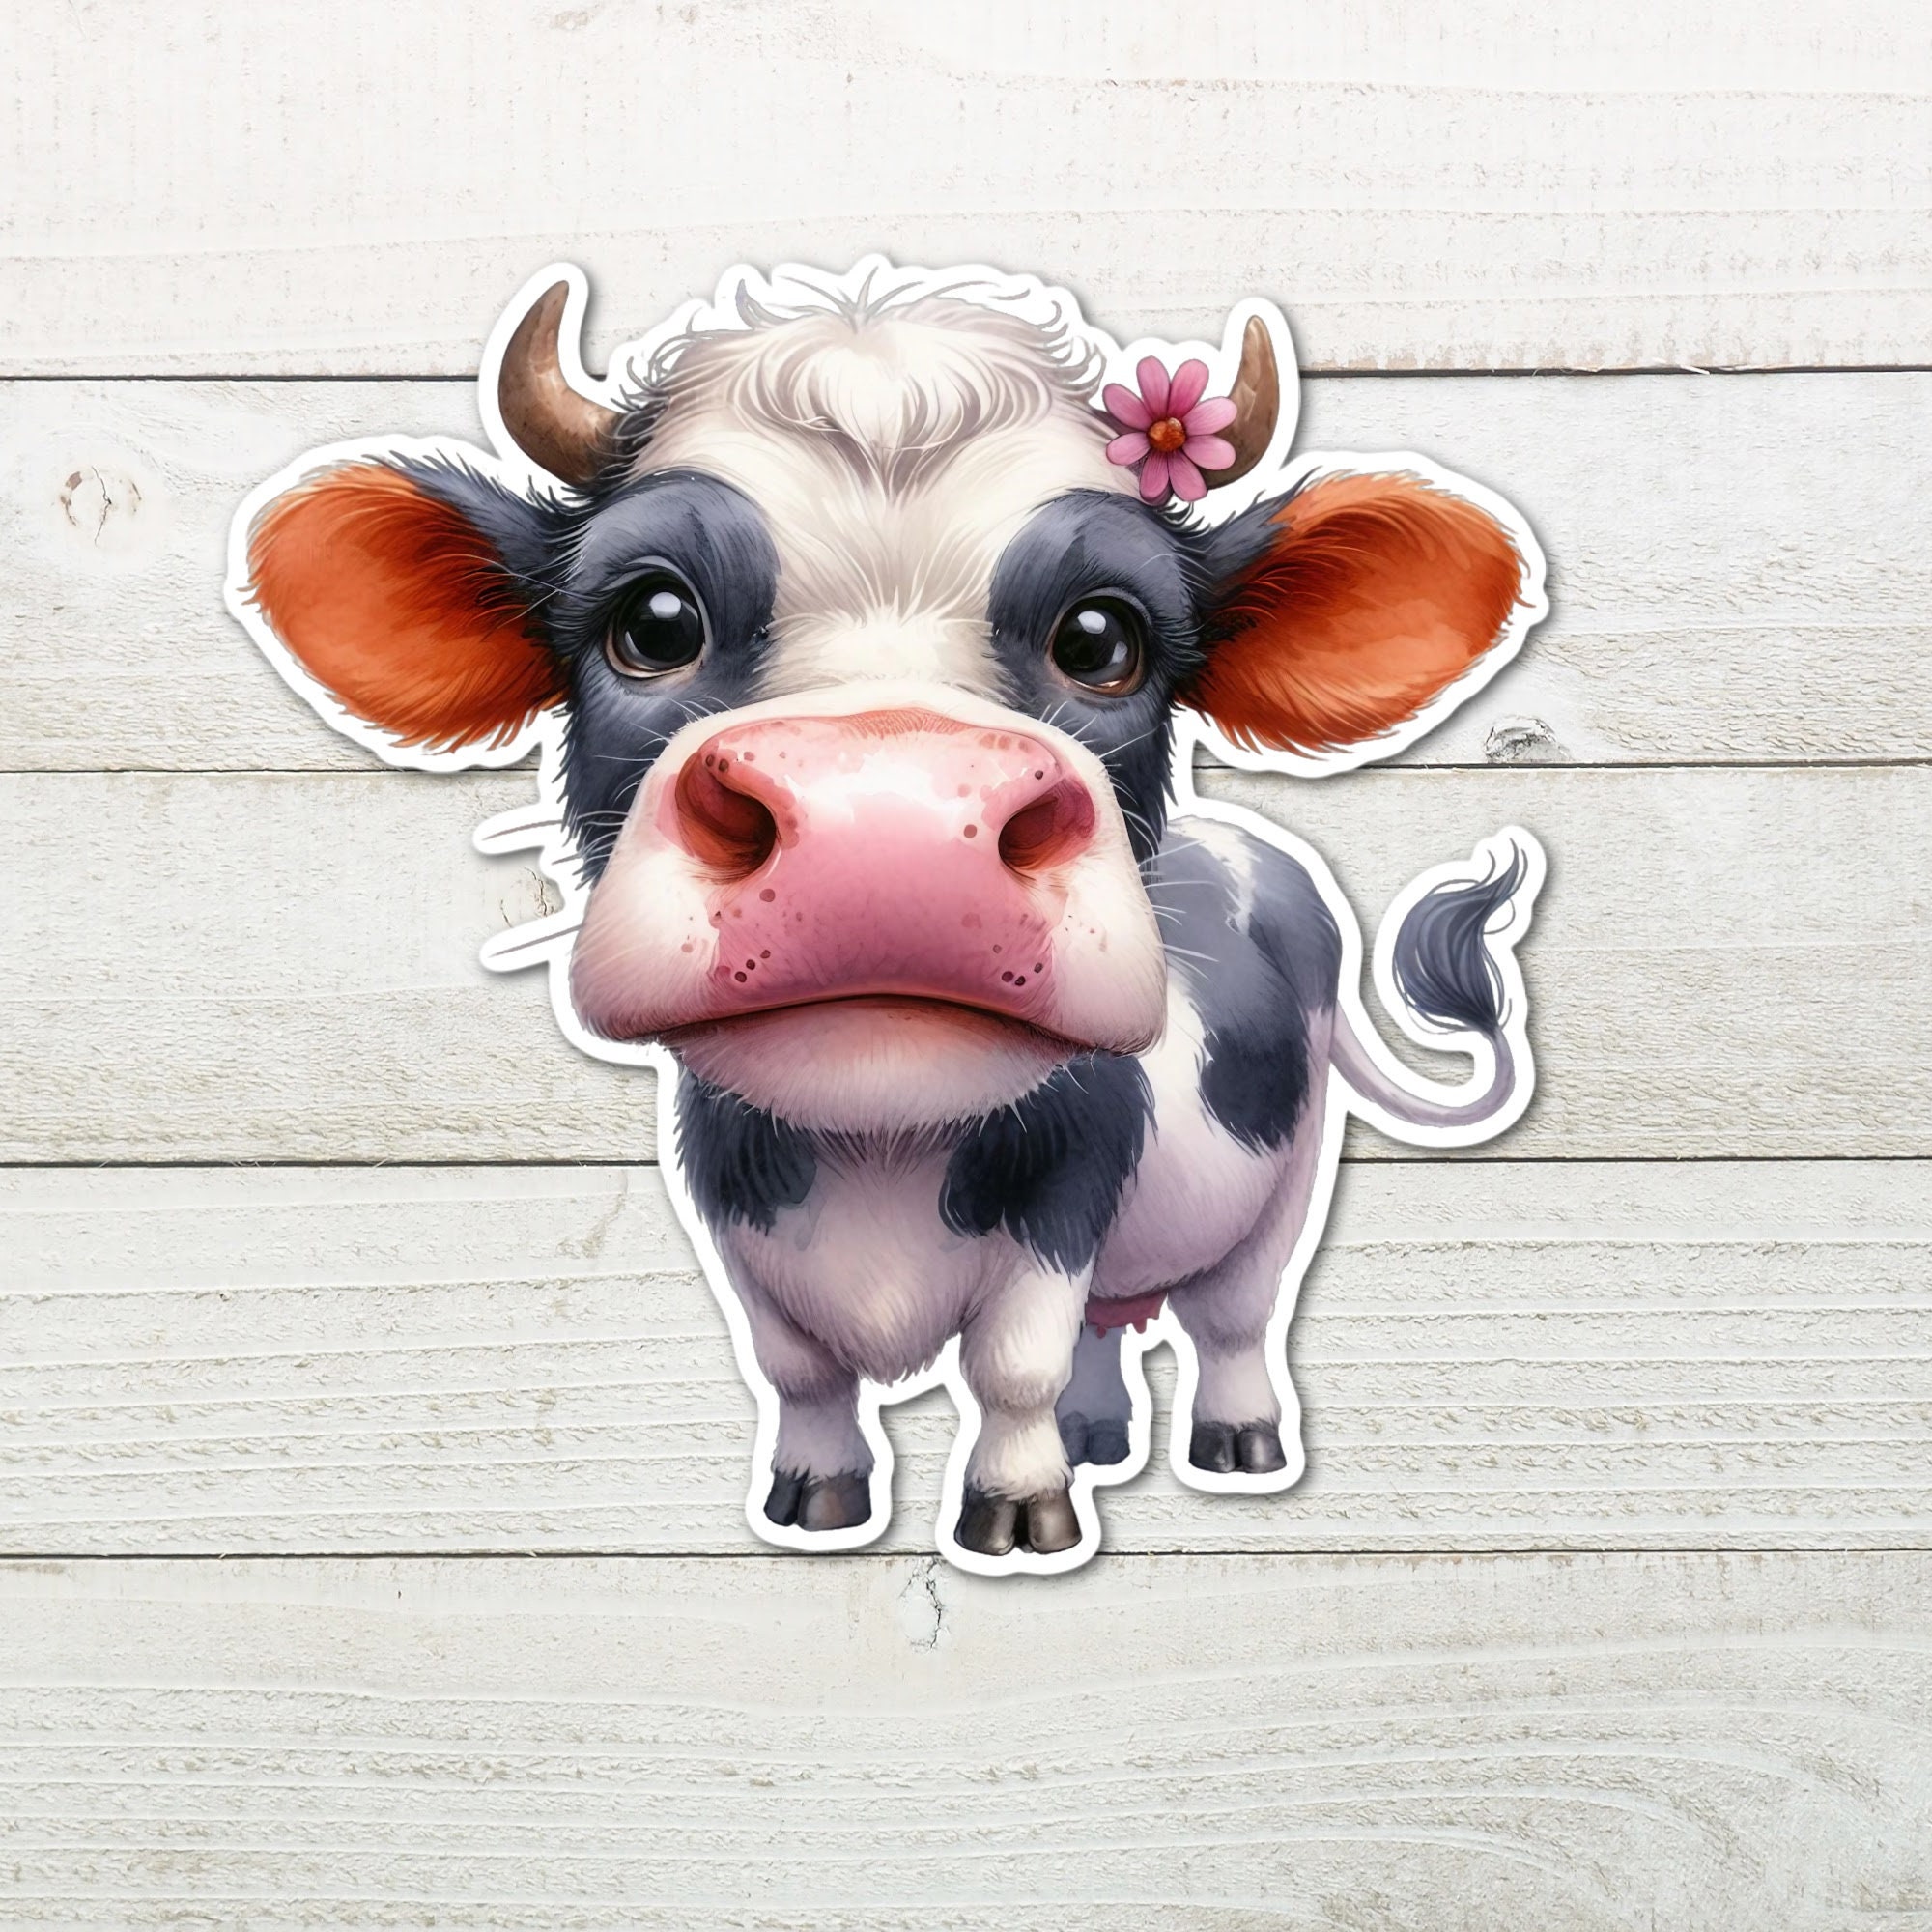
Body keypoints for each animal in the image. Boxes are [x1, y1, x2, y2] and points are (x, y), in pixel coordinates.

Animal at [228, 259, 1545, 1574]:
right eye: (651, 620)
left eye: (1101, 636)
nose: (886, 825)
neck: (878, 1148)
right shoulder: (739, 1224)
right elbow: (799, 1370)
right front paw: (816, 1491)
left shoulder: (1063, 1206)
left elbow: (1011, 1363)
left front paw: (1020, 1505)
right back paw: (1098, 1435)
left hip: (1282, 1170)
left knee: (1229, 1317)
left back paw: (1232, 1442)